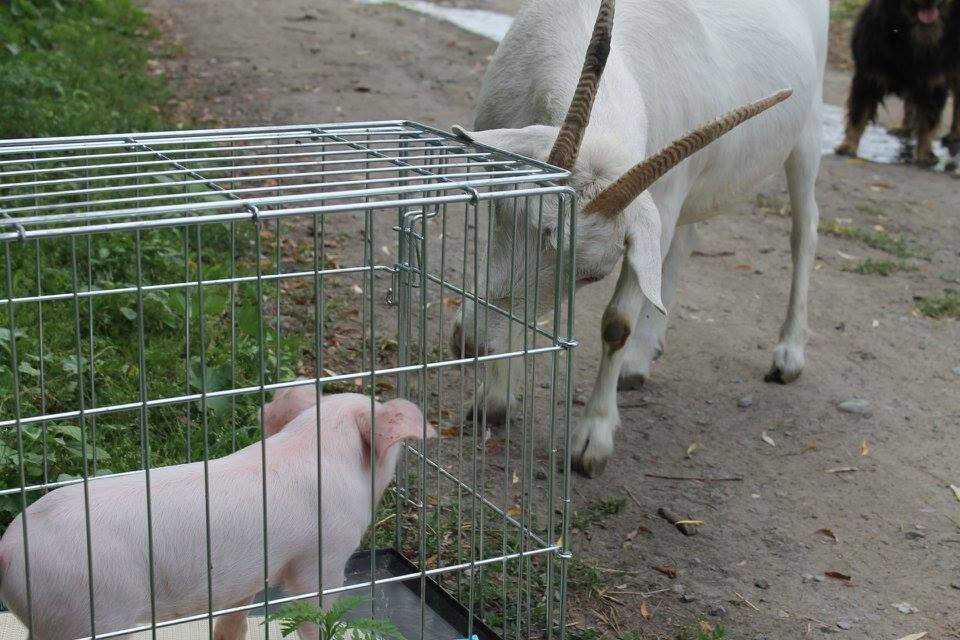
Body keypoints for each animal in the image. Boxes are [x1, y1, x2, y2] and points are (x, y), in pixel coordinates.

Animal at [0, 393, 435, 640]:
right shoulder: (322, 554)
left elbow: (234, 620)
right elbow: (315, 611)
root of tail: (7, 550)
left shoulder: (242, 577)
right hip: (91, 614)